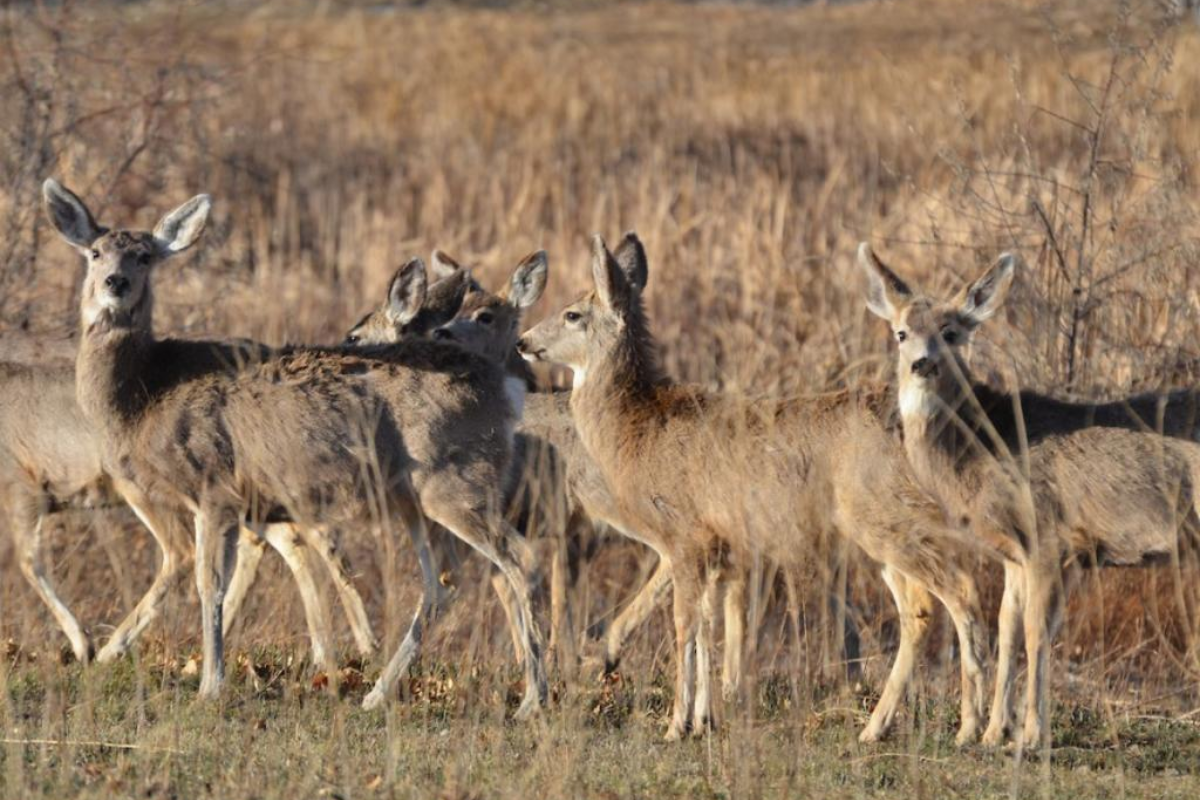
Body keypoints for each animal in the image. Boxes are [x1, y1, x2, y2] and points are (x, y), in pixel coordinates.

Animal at [43, 179, 547, 716]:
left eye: (143, 256)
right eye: (95, 252)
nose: (115, 282)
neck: (147, 391)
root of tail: (506, 388)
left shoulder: (215, 484)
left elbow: (209, 584)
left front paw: (209, 685)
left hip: (454, 480)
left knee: (519, 559)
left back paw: (533, 699)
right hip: (416, 495)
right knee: (442, 583)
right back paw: (377, 693)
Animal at [519, 234, 1002, 743]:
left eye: (573, 313)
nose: (523, 341)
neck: (637, 429)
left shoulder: (686, 536)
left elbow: (684, 625)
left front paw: (675, 725)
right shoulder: (720, 545)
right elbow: (708, 627)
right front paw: (704, 719)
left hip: (889, 521)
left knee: (959, 592)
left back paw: (971, 728)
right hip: (888, 529)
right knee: (920, 608)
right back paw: (879, 726)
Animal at [859, 243, 1200, 747]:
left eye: (951, 332)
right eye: (901, 332)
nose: (923, 364)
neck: (984, 445)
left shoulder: (1050, 536)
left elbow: (1038, 633)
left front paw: (1031, 736)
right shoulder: (1014, 552)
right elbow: (1007, 628)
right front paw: (991, 733)